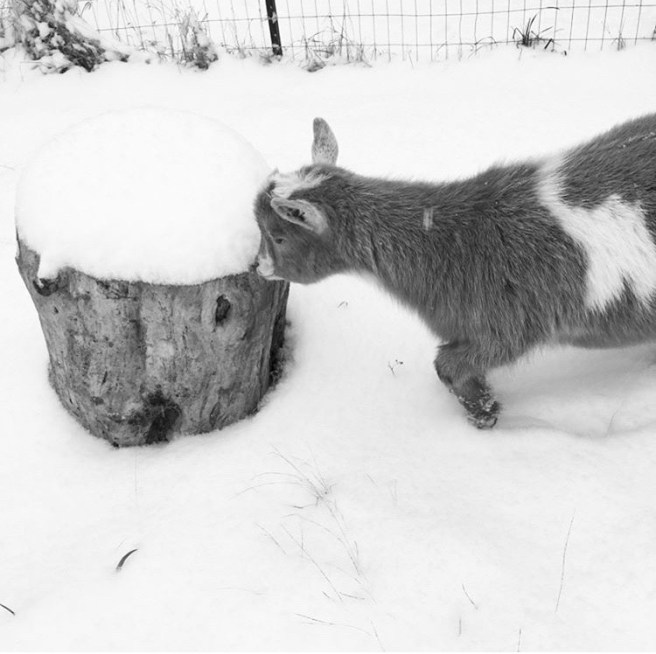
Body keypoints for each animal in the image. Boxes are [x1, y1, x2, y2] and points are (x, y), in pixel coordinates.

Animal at [254, 115, 656, 428]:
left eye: (279, 236)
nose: (259, 267)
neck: (453, 241)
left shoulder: (507, 329)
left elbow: (446, 364)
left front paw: (486, 415)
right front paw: (485, 407)